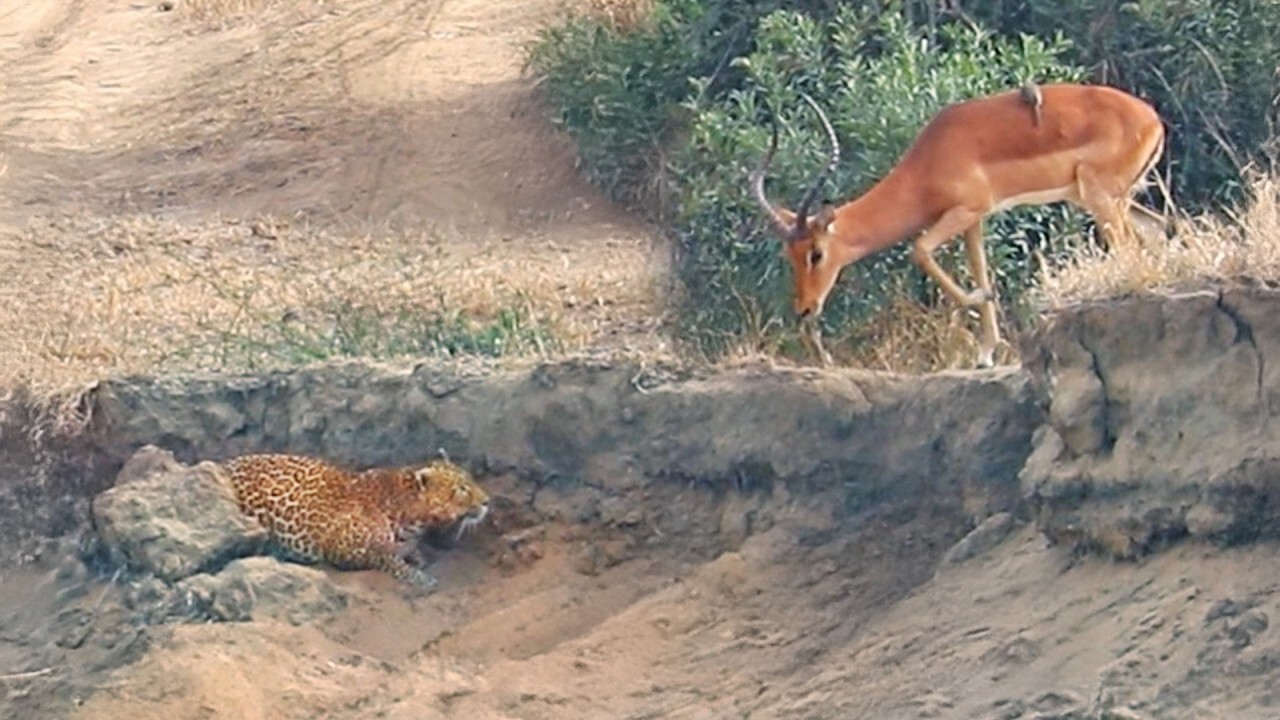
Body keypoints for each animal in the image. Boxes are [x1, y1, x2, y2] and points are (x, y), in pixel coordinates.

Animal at [219, 453, 489, 587]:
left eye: (470, 481)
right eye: (462, 488)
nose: (487, 501)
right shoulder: (345, 548)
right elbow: (389, 558)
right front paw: (421, 578)